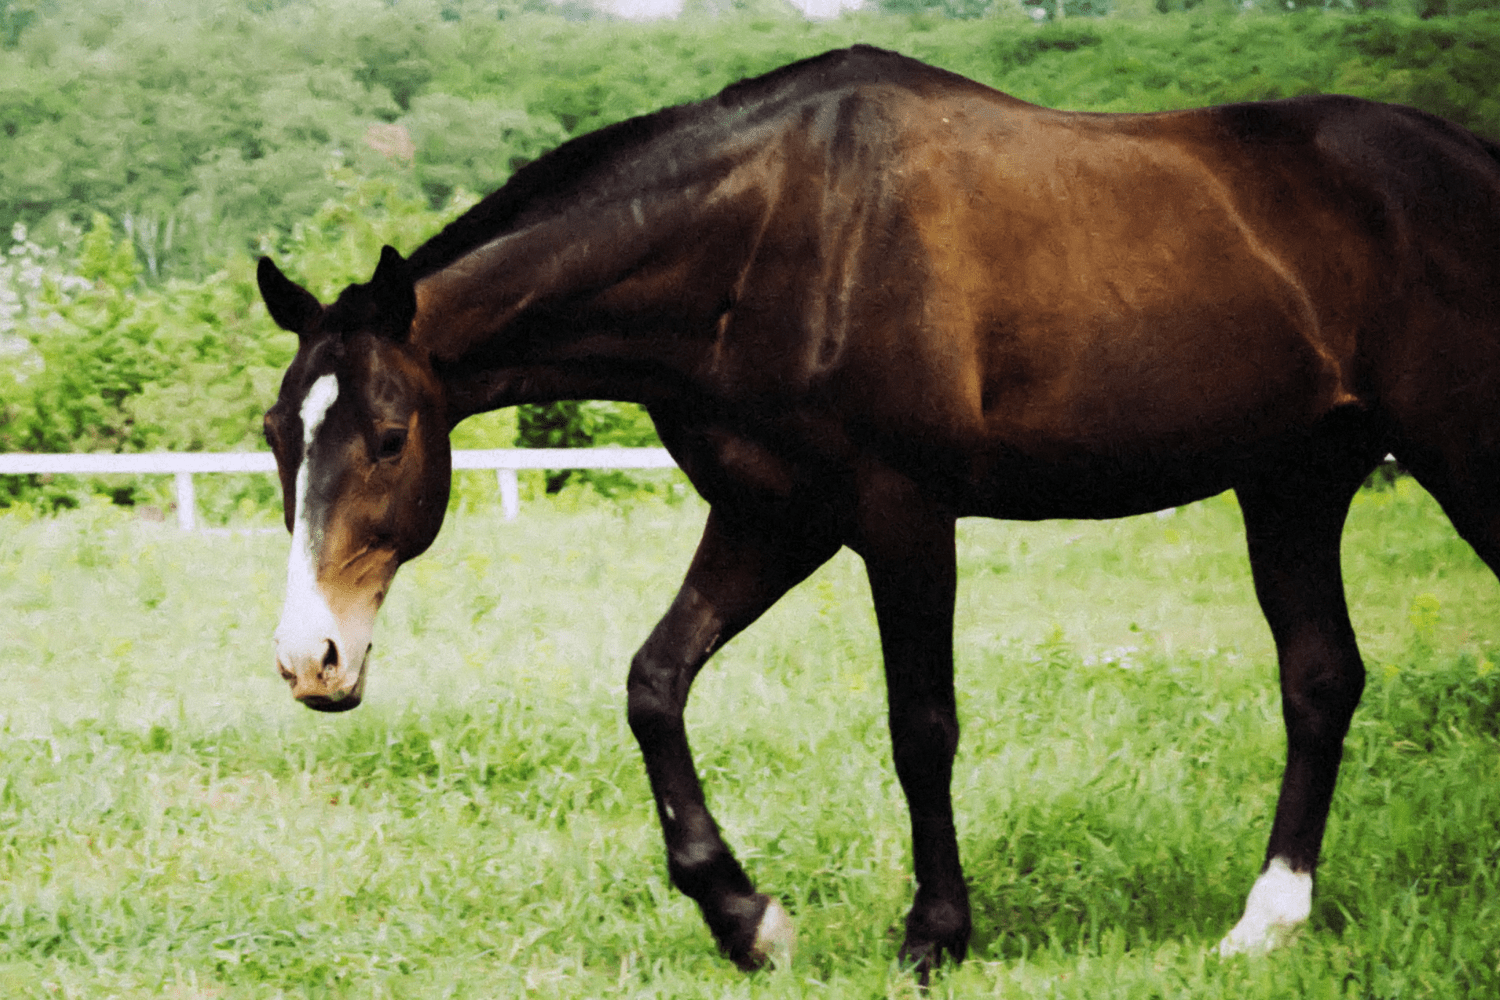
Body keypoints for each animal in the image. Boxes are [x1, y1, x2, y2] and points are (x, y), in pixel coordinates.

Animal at [255, 45, 1500, 976]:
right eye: (276, 435)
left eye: (389, 436)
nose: (313, 659)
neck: (769, 237)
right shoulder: (772, 519)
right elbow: (655, 685)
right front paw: (745, 918)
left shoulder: (903, 516)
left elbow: (922, 726)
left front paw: (935, 933)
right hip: (1294, 481)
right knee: (1321, 678)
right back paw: (1265, 922)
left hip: (1452, 458)